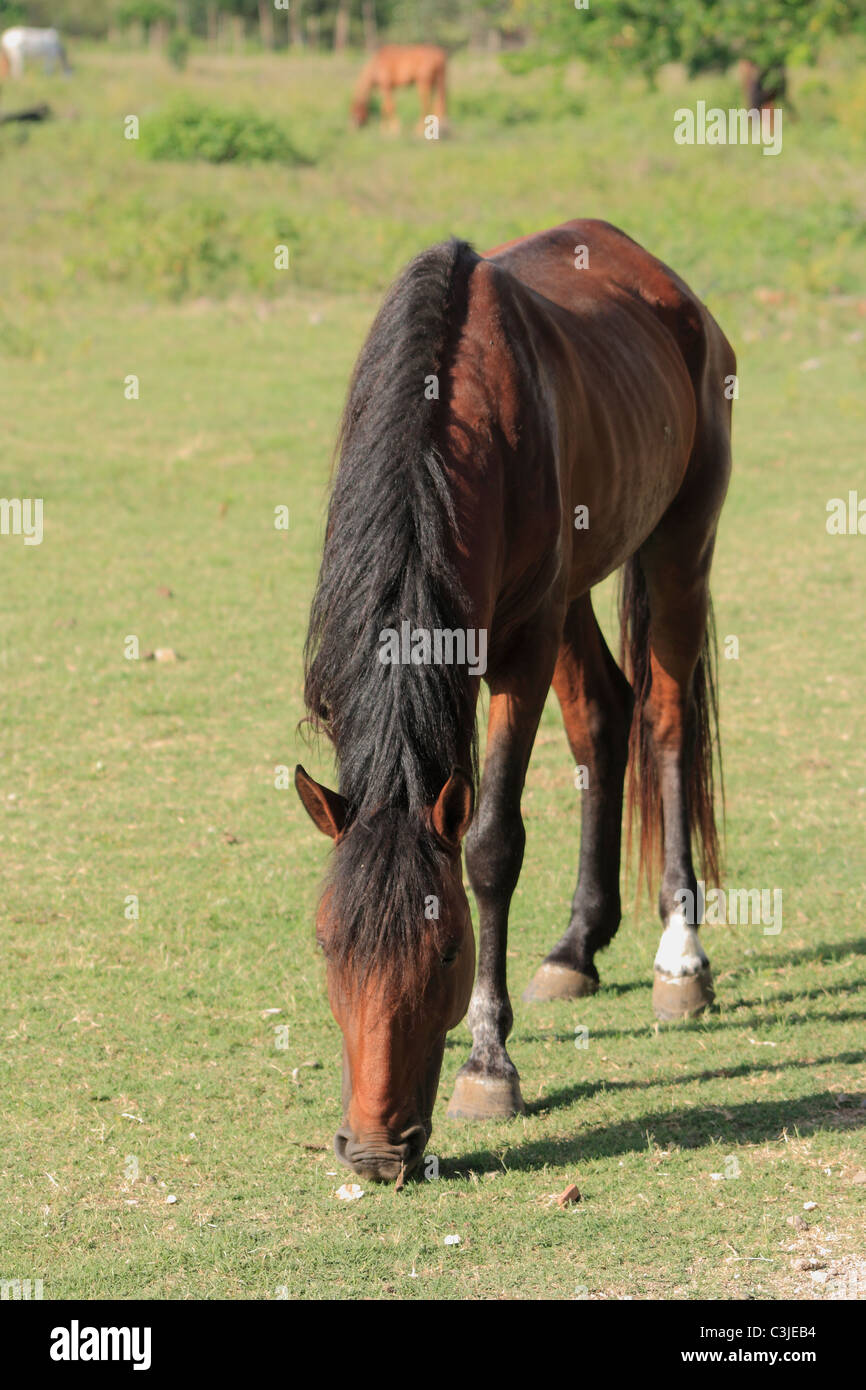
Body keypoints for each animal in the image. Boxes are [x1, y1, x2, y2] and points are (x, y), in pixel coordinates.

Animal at [297, 219, 735, 1184]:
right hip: (578, 585)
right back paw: (576, 948)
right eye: (328, 943)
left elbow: (492, 845)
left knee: (666, 721)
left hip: (681, 541)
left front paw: (490, 1063)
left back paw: (680, 962)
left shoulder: (521, 648)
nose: (374, 1150)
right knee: (605, 717)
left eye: (448, 949)